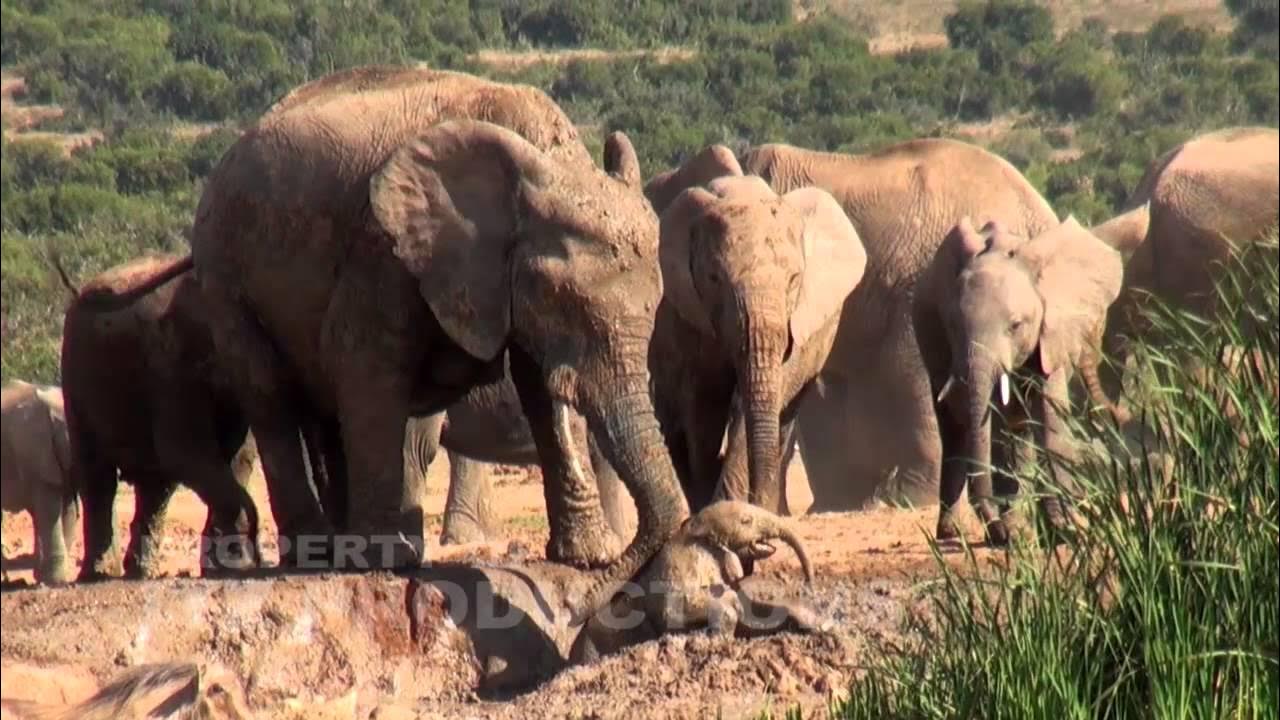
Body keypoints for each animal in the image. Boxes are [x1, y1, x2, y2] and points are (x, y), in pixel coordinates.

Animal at [57, 254, 261, 581]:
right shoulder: (170, 365)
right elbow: (184, 452)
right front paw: (238, 564)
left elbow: (239, 459)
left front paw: (223, 566)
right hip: (75, 378)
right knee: (98, 475)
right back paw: (99, 573)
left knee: (156, 488)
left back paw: (141, 572)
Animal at [189, 65, 687, 623]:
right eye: (558, 296)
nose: (585, 604)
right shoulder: (381, 250)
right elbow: (363, 360)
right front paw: (382, 562)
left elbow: (536, 383)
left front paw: (587, 556)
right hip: (223, 275)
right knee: (271, 398)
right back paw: (321, 553)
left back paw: (347, 546)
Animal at [912, 216, 1123, 545]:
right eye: (953, 325)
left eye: (1015, 325)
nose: (994, 531)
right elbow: (991, 426)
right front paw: (1018, 532)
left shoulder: (1050, 336)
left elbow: (1050, 424)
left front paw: (1065, 531)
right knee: (958, 429)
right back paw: (960, 532)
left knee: (1015, 429)